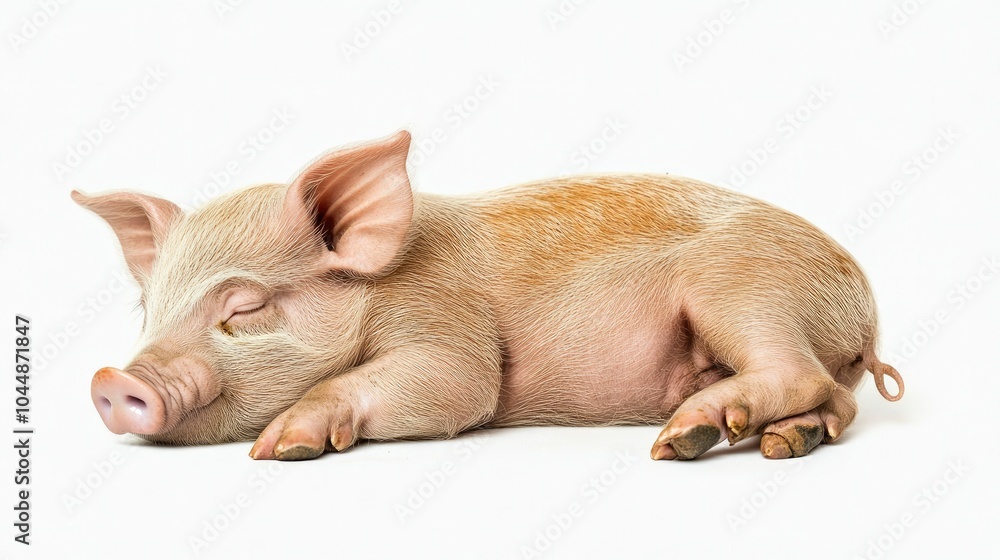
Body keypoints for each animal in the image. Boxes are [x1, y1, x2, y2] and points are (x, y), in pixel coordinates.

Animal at [72, 130, 904, 461]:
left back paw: (683, 437)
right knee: (836, 399)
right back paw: (778, 443)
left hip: (745, 286)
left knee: (797, 371)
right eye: (148, 312)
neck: (384, 282)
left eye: (243, 309)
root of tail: (862, 310)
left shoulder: (443, 321)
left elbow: (460, 383)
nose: (111, 380)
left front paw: (279, 446)